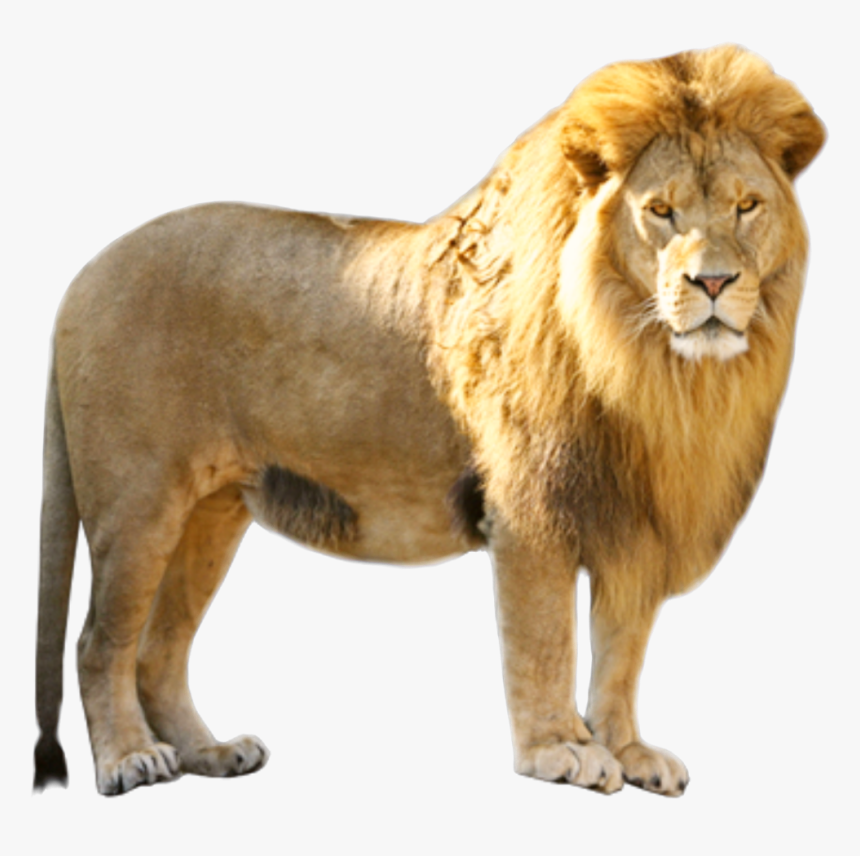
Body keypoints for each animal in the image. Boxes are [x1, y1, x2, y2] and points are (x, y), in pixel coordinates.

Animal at [34, 45, 823, 797]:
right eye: (660, 212)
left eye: (747, 206)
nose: (713, 282)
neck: (658, 371)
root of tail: (81, 275)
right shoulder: (530, 511)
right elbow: (545, 640)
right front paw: (562, 750)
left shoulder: (636, 520)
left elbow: (621, 654)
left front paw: (627, 753)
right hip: (138, 504)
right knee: (99, 641)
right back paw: (132, 760)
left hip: (212, 514)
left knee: (159, 649)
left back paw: (210, 753)